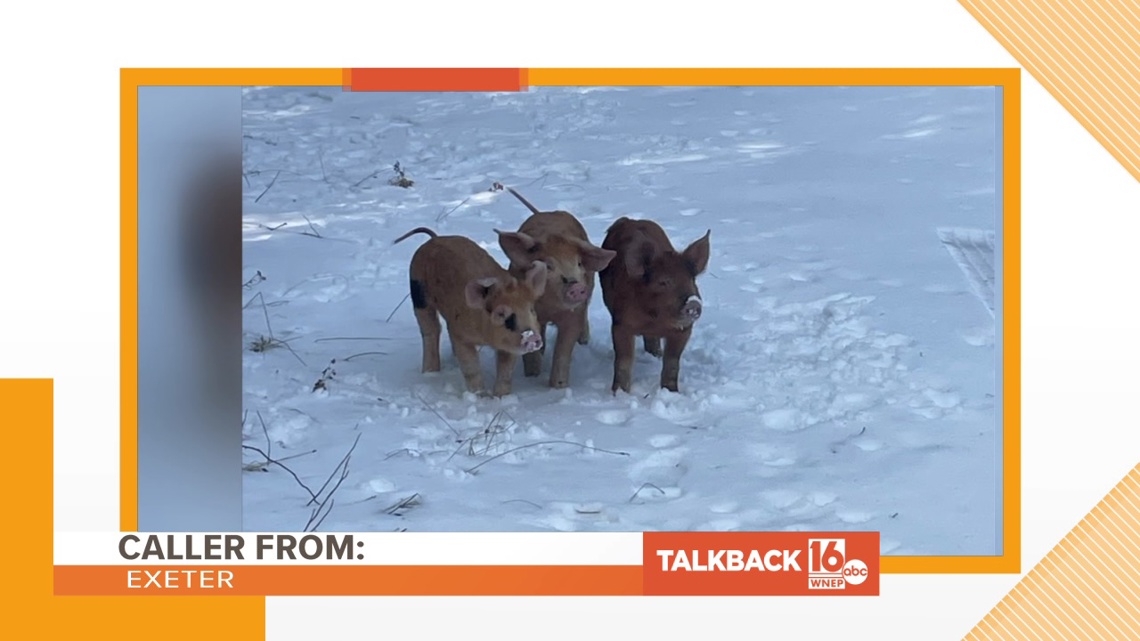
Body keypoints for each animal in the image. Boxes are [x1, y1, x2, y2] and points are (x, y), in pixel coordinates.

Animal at [393, 227, 547, 397]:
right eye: (500, 314)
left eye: (531, 309)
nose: (531, 336)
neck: (485, 338)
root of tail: (434, 238)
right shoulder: (461, 335)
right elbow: (470, 367)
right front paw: (480, 396)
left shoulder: (508, 344)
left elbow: (506, 370)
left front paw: (501, 397)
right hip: (418, 291)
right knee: (431, 330)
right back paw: (430, 373)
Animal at [494, 187, 616, 389]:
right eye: (548, 266)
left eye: (579, 263)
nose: (576, 286)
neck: (550, 308)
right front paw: (532, 375)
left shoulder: (574, 314)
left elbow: (563, 349)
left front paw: (558, 387)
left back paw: (584, 341)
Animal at [598, 218, 711, 394]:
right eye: (663, 282)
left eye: (691, 279)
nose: (692, 302)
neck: (654, 321)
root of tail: (630, 219)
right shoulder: (620, 324)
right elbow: (623, 360)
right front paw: (619, 393)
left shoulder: (684, 330)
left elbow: (672, 362)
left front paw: (671, 392)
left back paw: (656, 354)